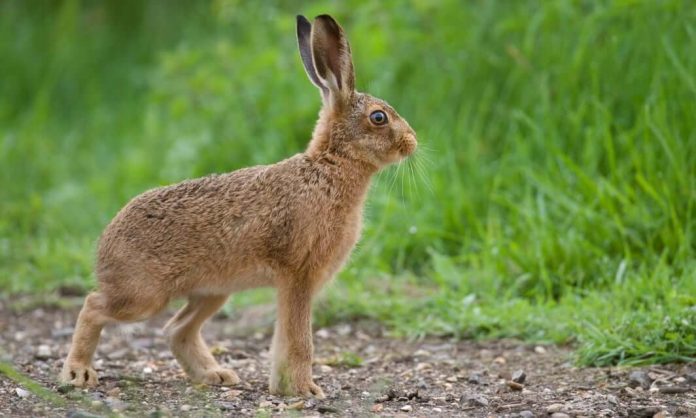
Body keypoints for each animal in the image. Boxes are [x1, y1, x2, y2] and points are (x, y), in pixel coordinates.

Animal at [59, 14, 416, 399]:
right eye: (379, 118)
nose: (412, 141)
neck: (329, 167)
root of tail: (103, 248)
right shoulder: (298, 274)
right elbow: (299, 339)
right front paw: (305, 390)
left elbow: (283, 339)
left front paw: (284, 387)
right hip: (144, 295)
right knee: (93, 306)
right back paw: (79, 372)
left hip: (213, 292)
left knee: (176, 329)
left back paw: (215, 375)